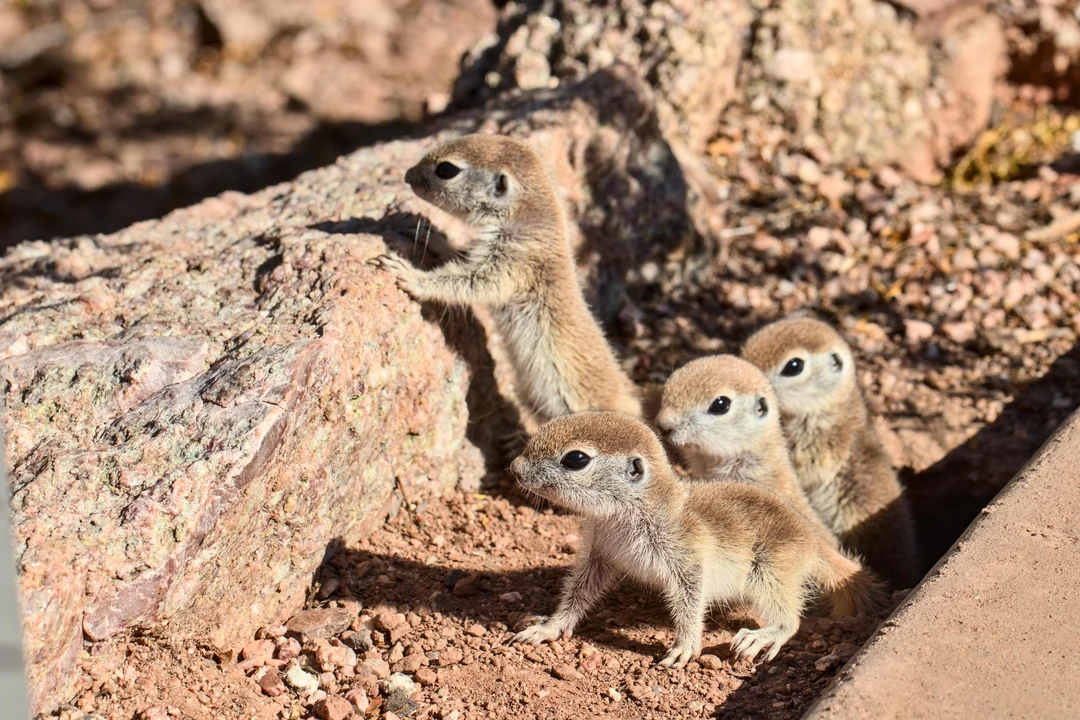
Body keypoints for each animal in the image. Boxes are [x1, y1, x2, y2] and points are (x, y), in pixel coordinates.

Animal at [370, 133, 641, 424]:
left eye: (446, 169)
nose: (407, 175)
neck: (528, 219)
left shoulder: (512, 263)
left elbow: (469, 283)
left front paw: (407, 273)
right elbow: (460, 257)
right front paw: (427, 235)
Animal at [510, 411, 883, 667]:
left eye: (576, 459)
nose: (514, 468)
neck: (628, 513)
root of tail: (814, 540)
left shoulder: (686, 556)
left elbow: (690, 598)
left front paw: (685, 646)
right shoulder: (600, 552)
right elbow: (579, 590)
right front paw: (548, 627)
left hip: (770, 571)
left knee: (790, 618)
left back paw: (763, 636)